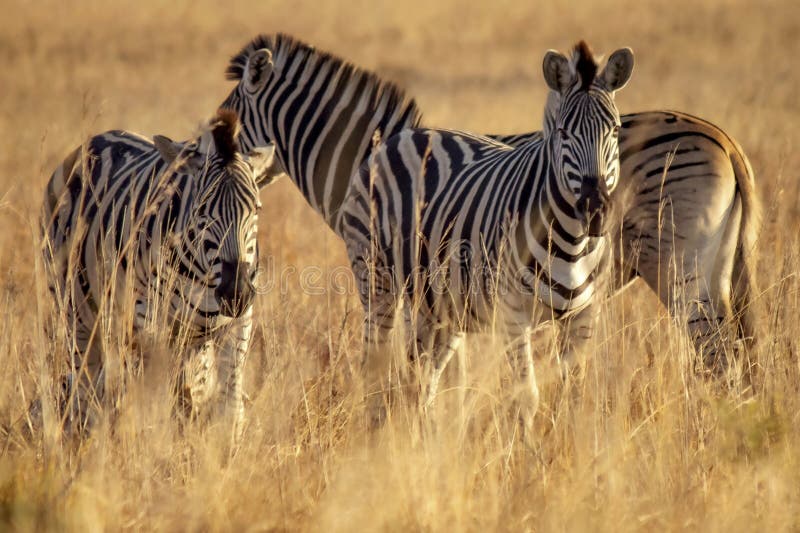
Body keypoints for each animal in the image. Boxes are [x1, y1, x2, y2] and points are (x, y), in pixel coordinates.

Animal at [41, 109, 275, 440]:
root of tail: (96, 139)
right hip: (78, 309)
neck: (205, 277)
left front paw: (222, 446)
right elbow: (162, 396)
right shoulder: (149, 320)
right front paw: (159, 442)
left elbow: (226, 406)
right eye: (203, 211)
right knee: (86, 381)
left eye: (256, 209)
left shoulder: (238, 323)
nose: (236, 293)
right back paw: (85, 433)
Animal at [221, 34, 758, 377]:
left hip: (676, 267)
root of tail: (726, 140)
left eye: (226, 119)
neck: (370, 154)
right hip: (717, 269)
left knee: (716, 355)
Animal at [340, 41, 634, 431]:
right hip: (377, 281)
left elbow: (574, 396)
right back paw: (375, 436)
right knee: (374, 367)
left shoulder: (584, 315)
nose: (595, 209)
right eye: (563, 134)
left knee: (419, 381)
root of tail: (401, 138)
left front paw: (572, 444)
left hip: (439, 304)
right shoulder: (512, 314)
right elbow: (527, 397)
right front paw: (527, 449)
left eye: (614, 131)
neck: (571, 240)